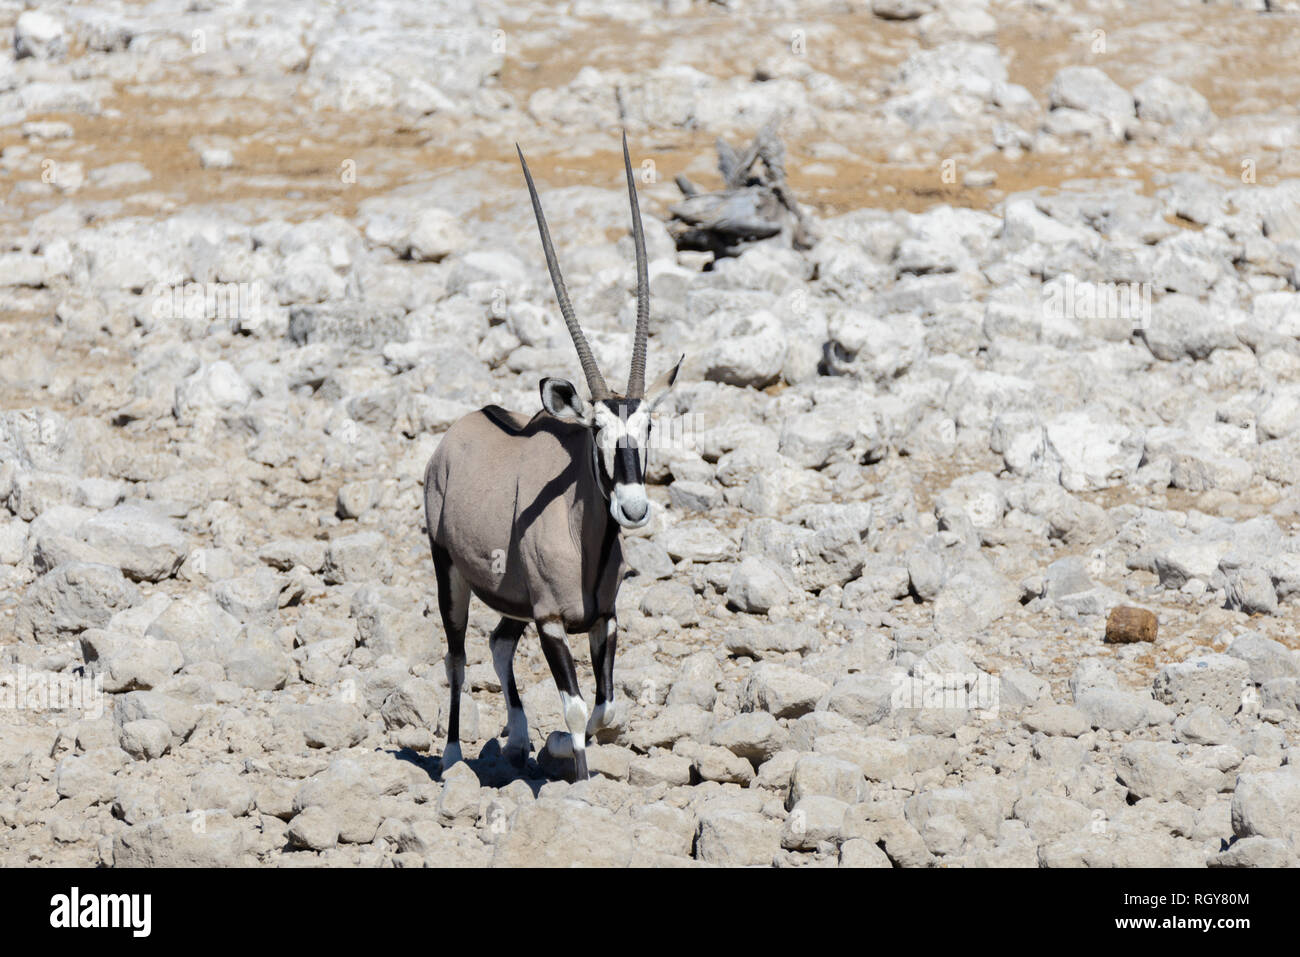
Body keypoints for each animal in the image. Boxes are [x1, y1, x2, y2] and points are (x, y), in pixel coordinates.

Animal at [423, 133, 683, 781]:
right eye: (595, 429)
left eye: (648, 423)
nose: (633, 508)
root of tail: (457, 433)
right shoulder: (551, 622)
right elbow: (574, 706)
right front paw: (579, 775)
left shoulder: (603, 619)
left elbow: (606, 707)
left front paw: (562, 747)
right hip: (449, 572)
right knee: (457, 656)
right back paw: (453, 755)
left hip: (509, 598)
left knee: (496, 643)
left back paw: (517, 740)